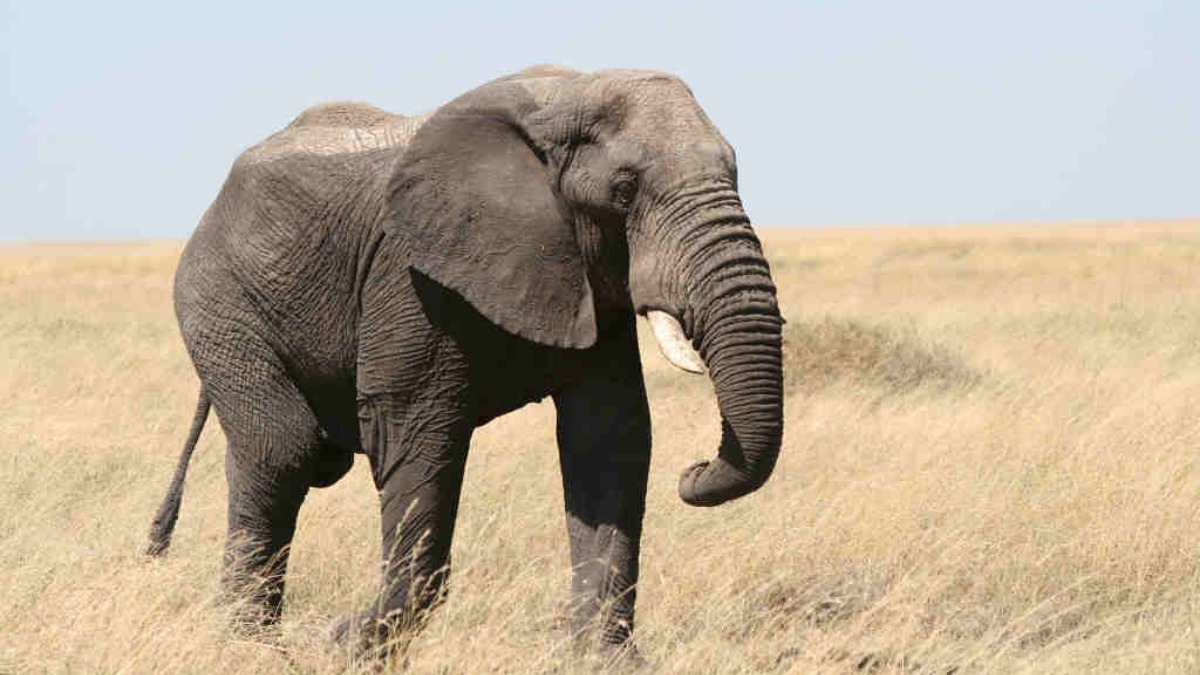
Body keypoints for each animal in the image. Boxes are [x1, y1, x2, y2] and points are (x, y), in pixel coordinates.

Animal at [146, 64, 784, 658]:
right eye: (623, 190)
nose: (694, 470)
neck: (565, 98)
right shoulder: (411, 273)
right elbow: (415, 432)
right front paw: (348, 646)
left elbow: (608, 438)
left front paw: (609, 661)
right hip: (218, 299)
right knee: (282, 448)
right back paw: (251, 645)